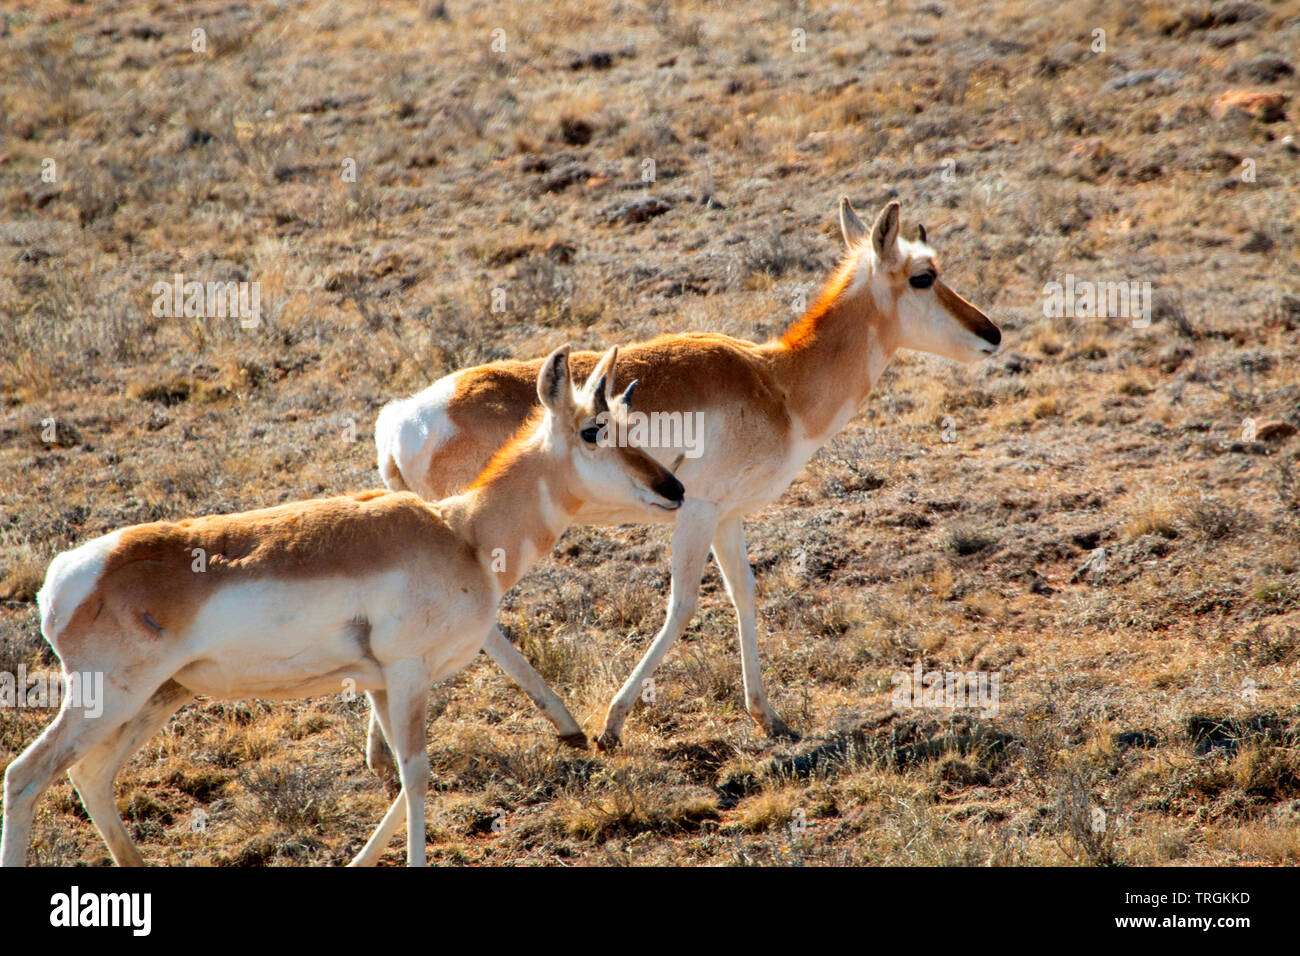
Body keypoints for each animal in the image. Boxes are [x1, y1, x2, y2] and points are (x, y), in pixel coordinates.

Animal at [0, 346, 683, 867]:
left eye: (631, 427)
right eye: (593, 431)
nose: (673, 488)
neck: (460, 530)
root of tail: (65, 577)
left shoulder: (381, 683)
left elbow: (400, 779)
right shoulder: (406, 676)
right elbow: (416, 774)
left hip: (158, 697)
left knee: (90, 778)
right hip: (110, 699)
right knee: (25, 777)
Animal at [372, 199, 1000, 757]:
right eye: (923, 276)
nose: (991, 334)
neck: (775, 382)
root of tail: (402, 418)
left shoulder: (728, 516)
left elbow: (744, 593)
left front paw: (768, 716)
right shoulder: (696, 511)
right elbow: (683, 604)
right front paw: (614, 724)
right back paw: (567, 725)